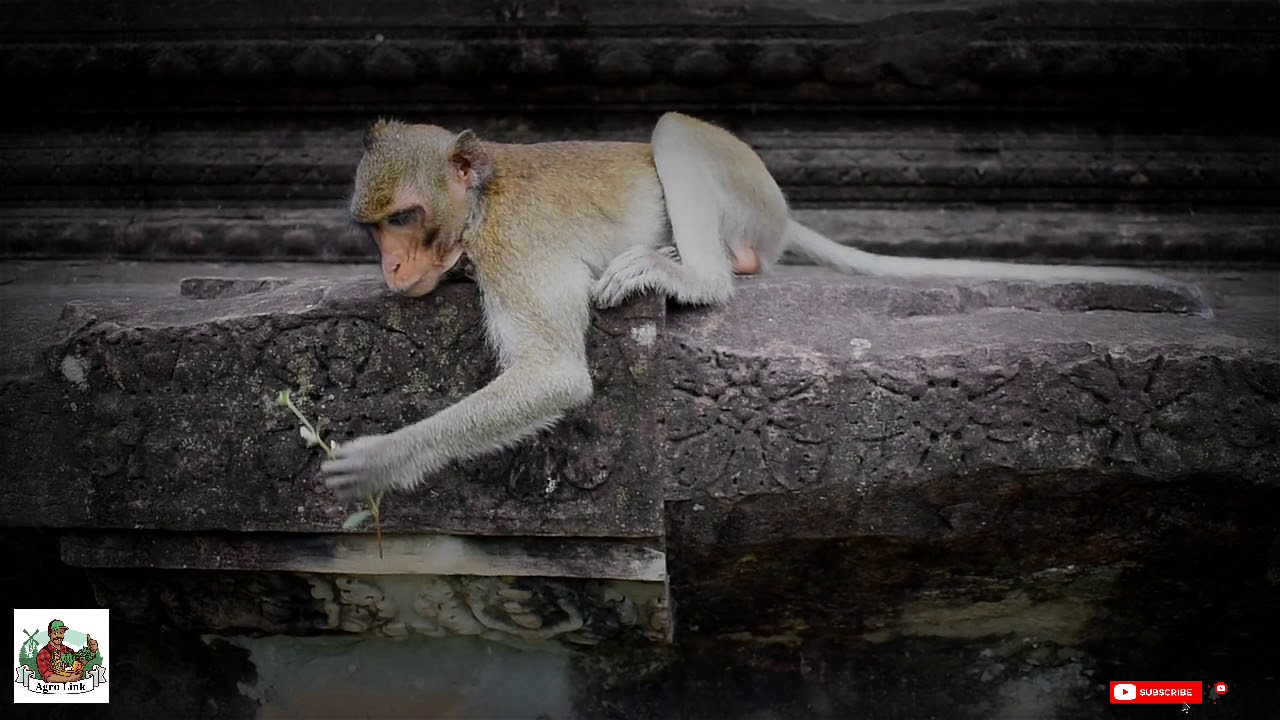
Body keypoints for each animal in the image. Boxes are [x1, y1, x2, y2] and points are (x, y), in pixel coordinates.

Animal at [321, 112, 1201, 498]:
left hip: (736, 184)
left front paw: (382, 459)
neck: (478, 207)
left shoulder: (514, 250)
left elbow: (554, 378)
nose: (392, 264)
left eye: (406, 217)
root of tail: (779, 213)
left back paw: (694, 273)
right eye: (373, 226)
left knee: (673, 132)